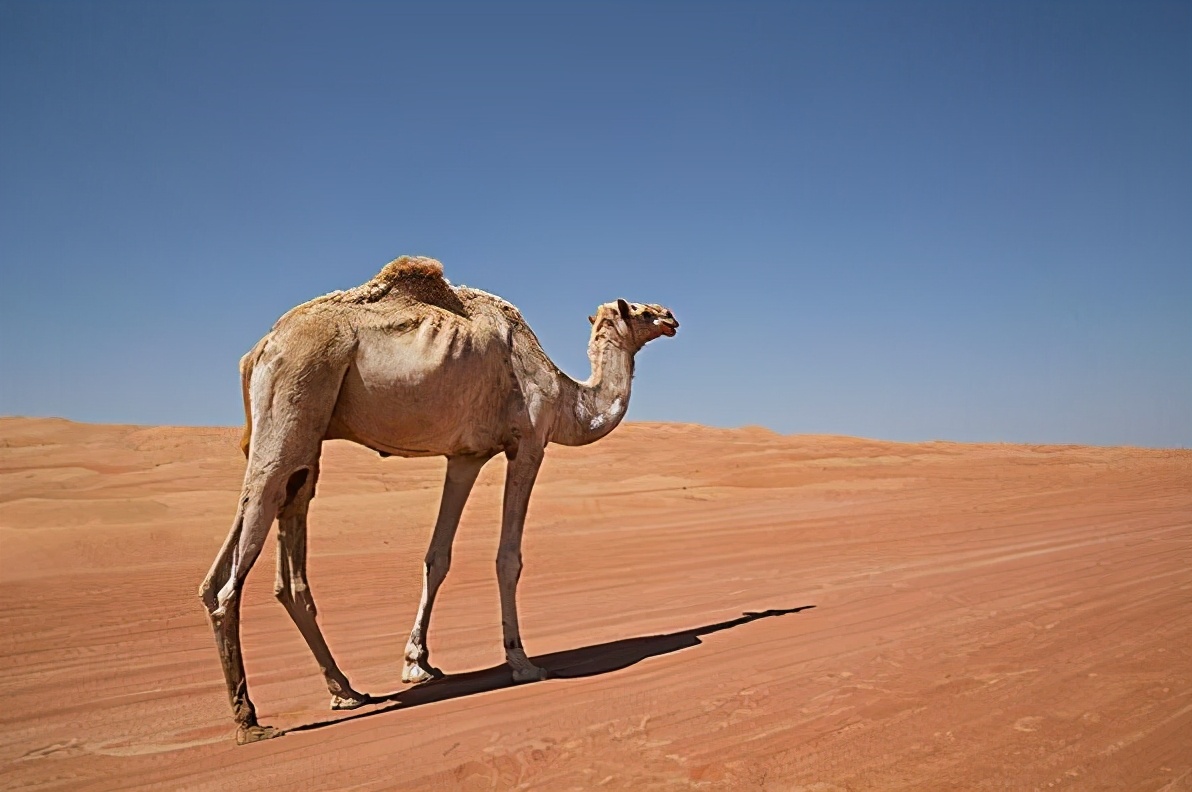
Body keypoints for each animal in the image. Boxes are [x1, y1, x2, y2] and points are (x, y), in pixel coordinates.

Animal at [198, 256, 678, 743]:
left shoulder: (466, 455)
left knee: (276, 559)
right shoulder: (528, 443)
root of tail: (260, 348)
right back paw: (250, 720)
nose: (671, 316)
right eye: (640, 310)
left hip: (303, 448)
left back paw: (346, 691)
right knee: (230, 574)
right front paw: (522, 662)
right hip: (290, 407)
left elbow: (438, 556)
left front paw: (418, 663)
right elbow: (508, 558)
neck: (567, 399)